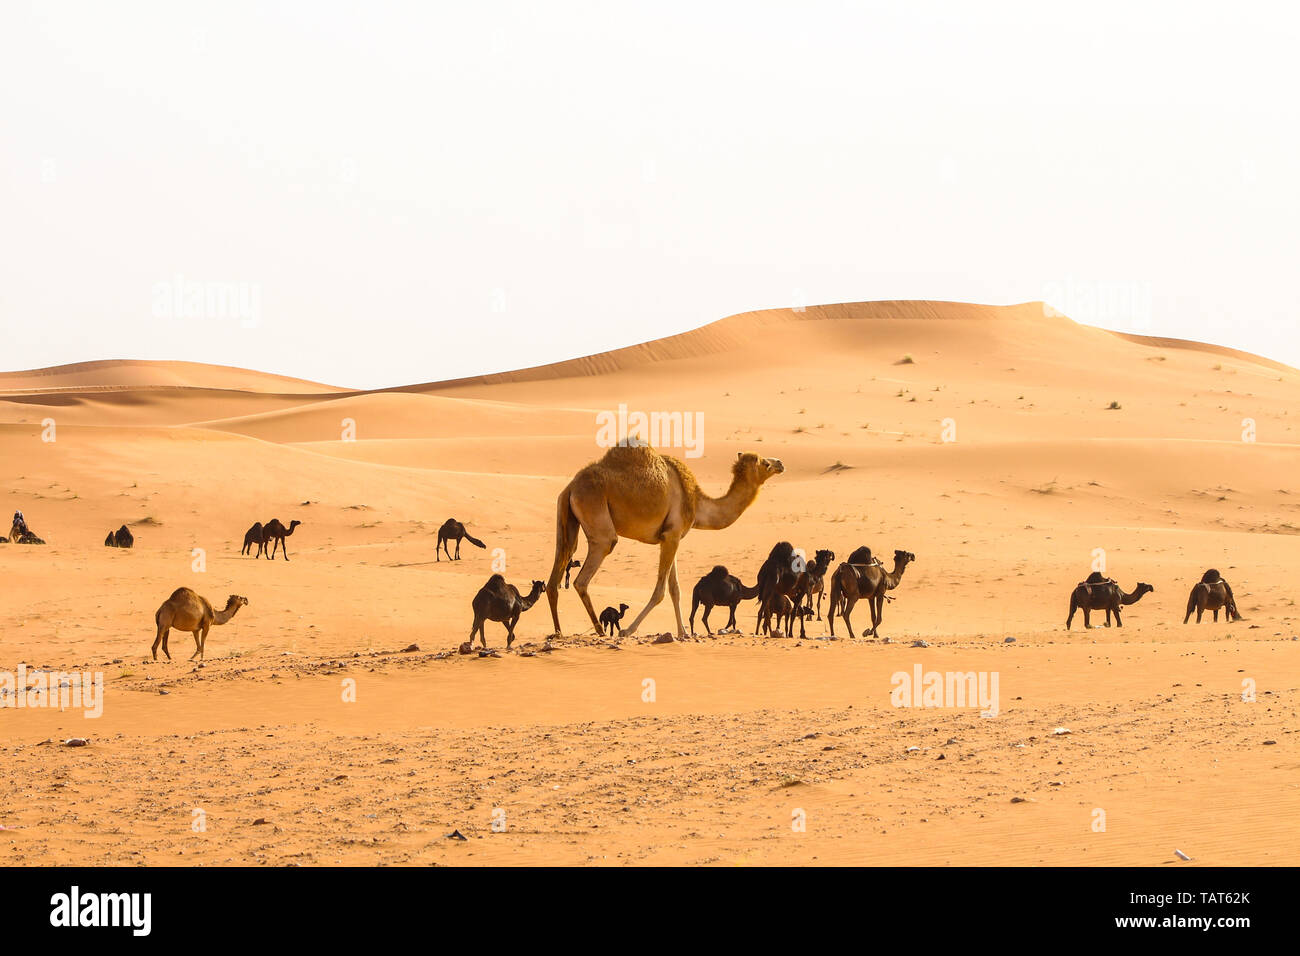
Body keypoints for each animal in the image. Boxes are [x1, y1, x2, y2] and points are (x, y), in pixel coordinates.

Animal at [546, 447, 783, 638]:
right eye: (765, 463)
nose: (780, 463)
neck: (697, 503)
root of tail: (571, 487)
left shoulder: (670, 537)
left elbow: (675, 589)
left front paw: (683, 632)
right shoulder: (672, 535)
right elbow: (660, 591)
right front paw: (627, 630)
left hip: (567, 523)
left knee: (554, 578)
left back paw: (558, 632)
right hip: (599, 522)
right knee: (583, 577)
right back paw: (599, 630)